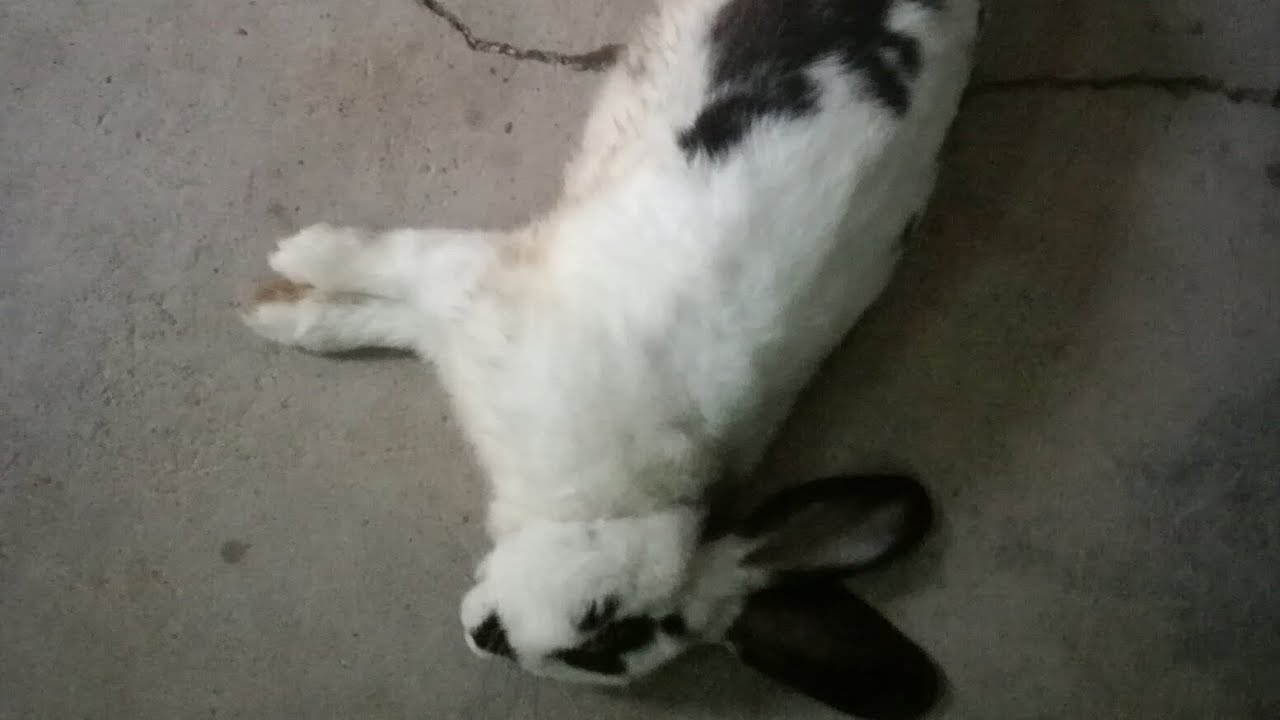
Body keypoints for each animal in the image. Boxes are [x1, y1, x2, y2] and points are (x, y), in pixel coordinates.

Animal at [241, 0, 979, 712]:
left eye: (601, 652)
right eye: (600, 613)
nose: (488, 636)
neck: (618, 507)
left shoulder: (467, 316)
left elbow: (386, 312)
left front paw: (284, 312)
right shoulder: (477, 286)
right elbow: (389, 263)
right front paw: (295, 264)